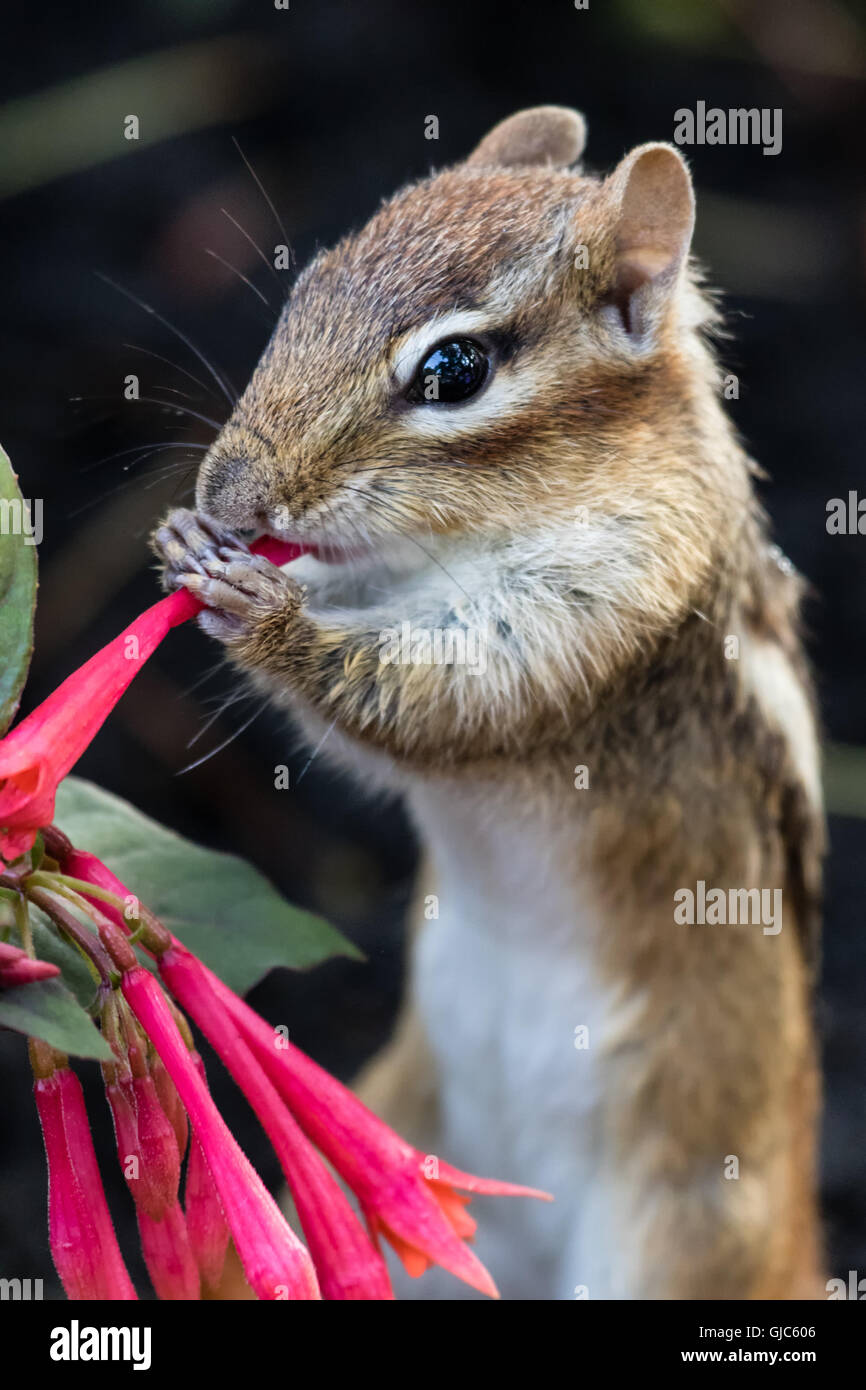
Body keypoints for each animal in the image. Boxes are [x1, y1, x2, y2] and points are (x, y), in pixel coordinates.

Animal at [153, 107, 825, 1300]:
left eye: (454, 371)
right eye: (306, 283)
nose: (228, 497)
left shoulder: (596, 620)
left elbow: (430, 703)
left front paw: (268, 616)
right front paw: (194, 544)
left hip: (675, 1242)